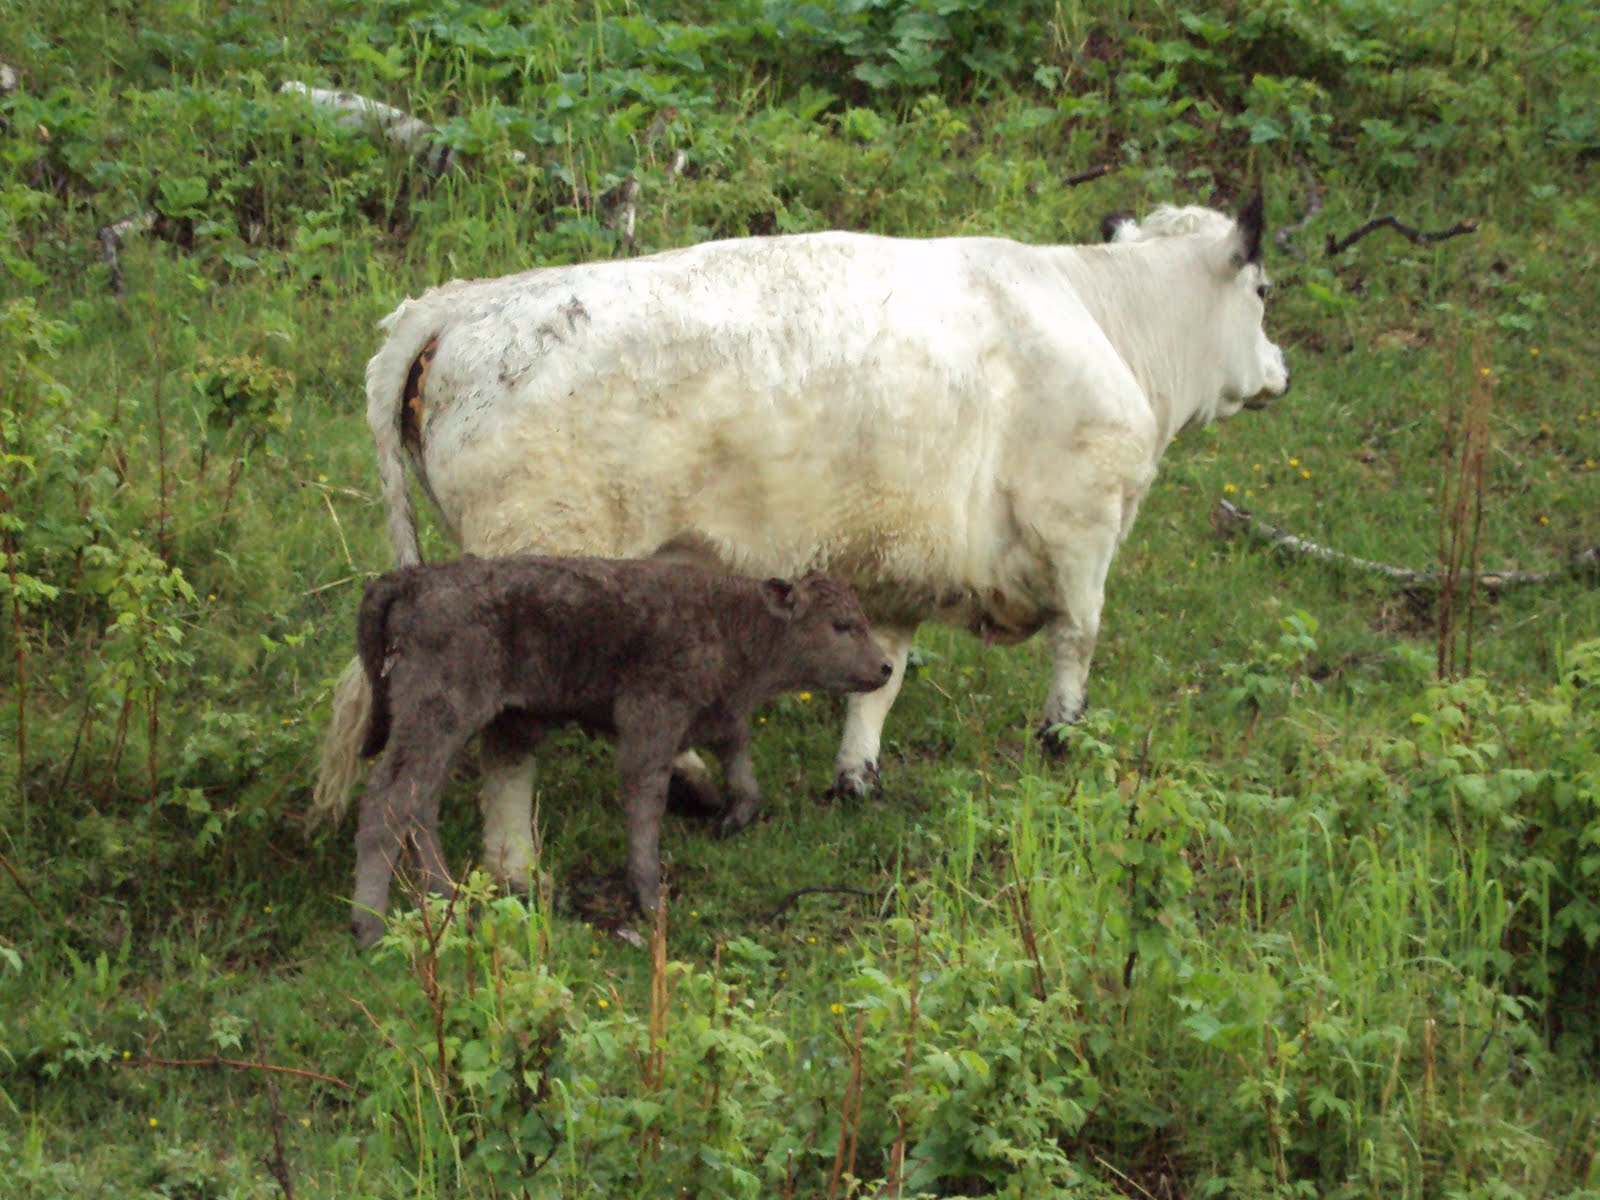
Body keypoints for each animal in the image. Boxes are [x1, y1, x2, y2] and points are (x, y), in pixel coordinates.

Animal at [314, 195, 1289, 900]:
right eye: (1264, 292)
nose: (1280, 369)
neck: (1104, 316)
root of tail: (457, 304)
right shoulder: (1081, 521)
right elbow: (1079, 640)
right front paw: (1062, 738)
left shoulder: (894, 565)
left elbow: (883, 675)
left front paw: (857, 775)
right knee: (511, 742)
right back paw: (518, 868)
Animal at [347, 554, 892, 945]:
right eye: (842, 625)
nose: (886, 666)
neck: (730, 621)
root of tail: (412, 579)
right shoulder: (650, 716)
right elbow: (646, 799)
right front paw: (649, 895)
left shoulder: (716, 711)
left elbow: (738, 754)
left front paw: (735, 815)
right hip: (437, 714)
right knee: (389, 798)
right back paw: (370, 926)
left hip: (437, 726)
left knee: (419, 802)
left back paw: (446, 895)